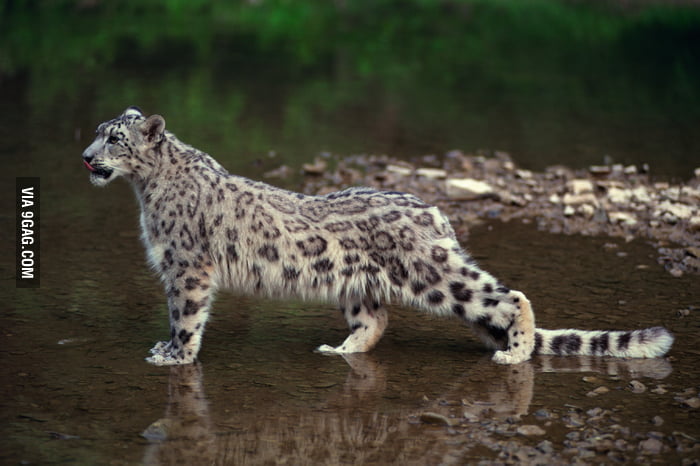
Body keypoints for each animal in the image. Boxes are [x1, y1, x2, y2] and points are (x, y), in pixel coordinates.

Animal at [82, 107, 674, 366]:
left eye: (114, 139)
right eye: (97, 133)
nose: (86, 157)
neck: (146, 193)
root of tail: (434, 211)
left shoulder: (185, 267)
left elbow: (185, 316)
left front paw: (173, 353)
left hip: (436, 276)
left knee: (507, 296)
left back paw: (517, 352)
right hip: (356, 286)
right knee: (376, 320)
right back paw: (339, 349)